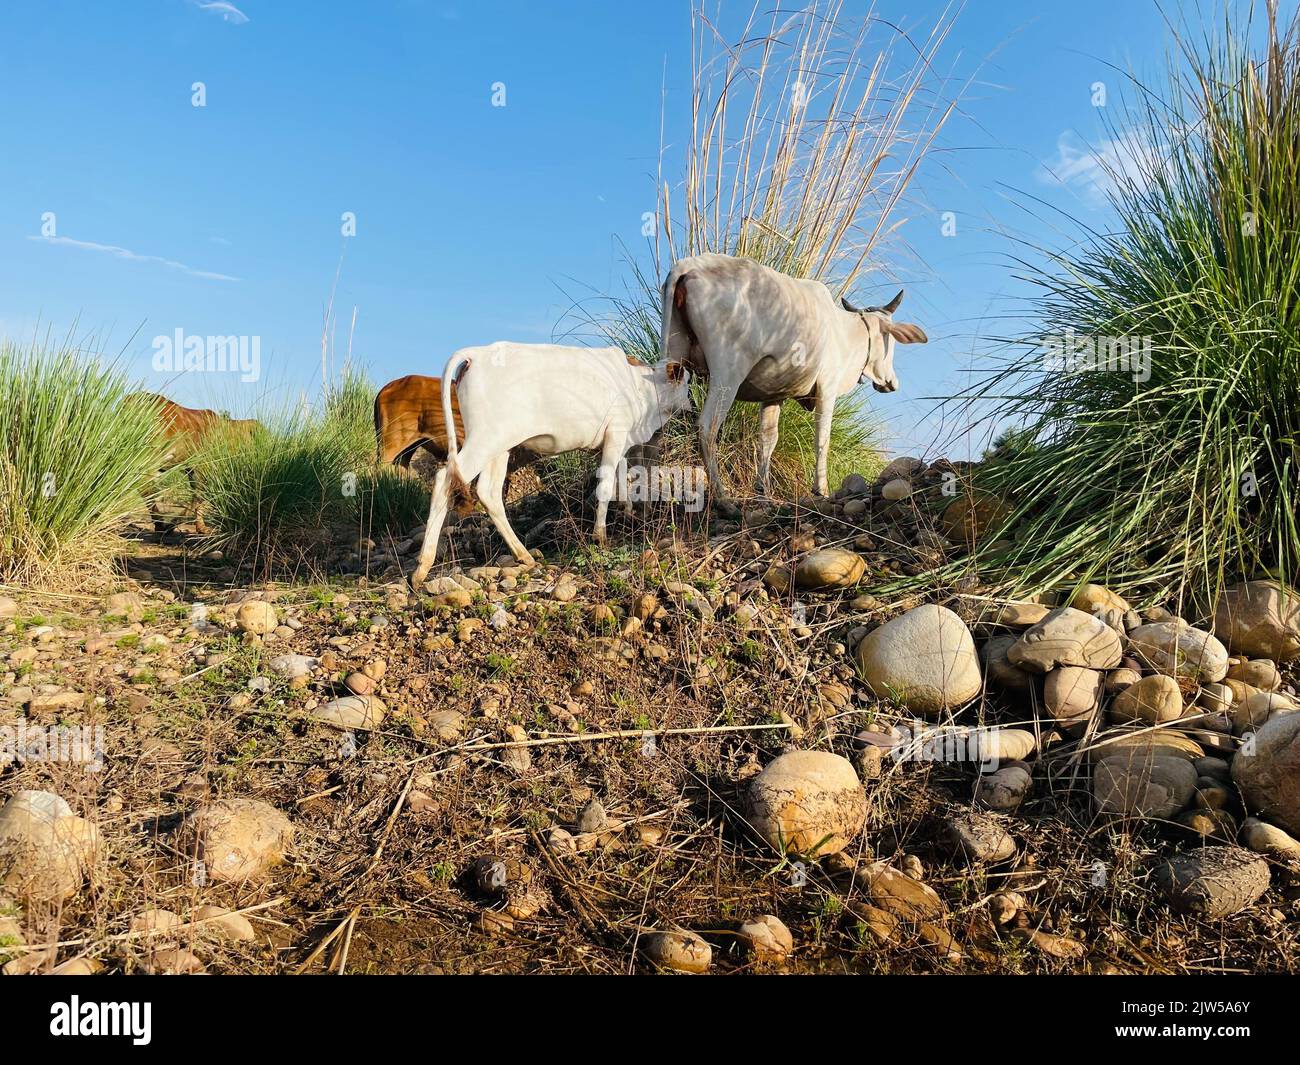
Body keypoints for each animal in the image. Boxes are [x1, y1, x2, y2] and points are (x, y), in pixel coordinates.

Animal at [127, 393, 260, 533]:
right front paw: (192, 525)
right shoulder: (201, 469)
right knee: (146, 489)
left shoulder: (192, 470)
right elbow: (198, 498)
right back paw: (159, 522)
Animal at [409, 343, 693, 589]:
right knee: (445, 479)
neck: (644, 393)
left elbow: (622, 476)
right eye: (688, 383)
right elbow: (606, 484)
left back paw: (523, 554)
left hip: (499, 446)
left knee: (488, 492)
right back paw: (422, 567)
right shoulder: (616, 432)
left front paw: (629, 511)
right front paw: (600, 535)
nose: (692, 405)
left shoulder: (621, 440)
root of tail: (475, 353)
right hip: (484, 440)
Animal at [658, 252, 928, 504]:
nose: (891, 382)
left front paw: (763, 490)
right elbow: (822, 438)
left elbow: (768, 440)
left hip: (674, 360)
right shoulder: (827, 387)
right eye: (891, 339)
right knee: (707, 427)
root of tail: (689, 266)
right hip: (727, 372)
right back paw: (723, 498)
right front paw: (821, 489)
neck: (845, 330)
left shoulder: (773, 395)